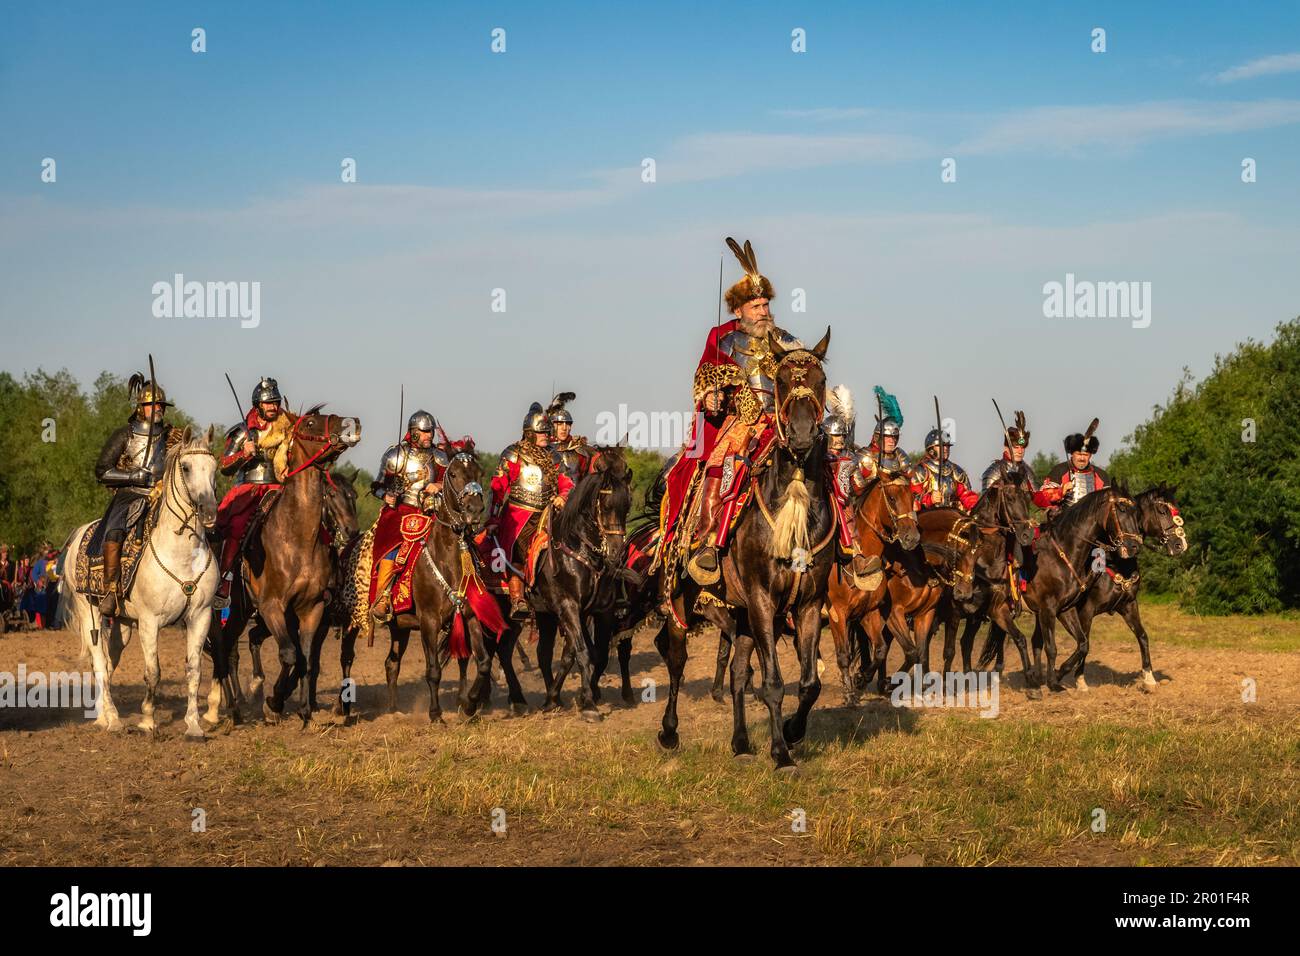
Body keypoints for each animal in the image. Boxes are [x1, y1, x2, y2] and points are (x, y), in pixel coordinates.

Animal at [60, 427, 220, 737]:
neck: (182, 553)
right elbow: (153, 671)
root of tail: (79, 534)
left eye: (214, 467)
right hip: (90, 610)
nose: (208, 513)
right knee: (100, 662)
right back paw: (113, 720)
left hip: (122, 622)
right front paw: (147, 720)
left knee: (110, 663)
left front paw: (194, 725)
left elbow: (194, 671)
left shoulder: (200, 616)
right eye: (186, 467)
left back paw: (102, 715)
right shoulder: (150, 620)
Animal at [207, 406, 361, 726]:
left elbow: (306, 659)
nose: (352, 424)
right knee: (224, 650)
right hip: (227, 613)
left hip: (243, 614)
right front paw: (273, 702)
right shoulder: (272, 607)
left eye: (353, 497)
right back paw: (233, 707)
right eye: (311, 422)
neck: (297, 537)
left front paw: (304, 710)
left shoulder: (312, 610)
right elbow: (290, 654)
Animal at [529, 446, 633, 718]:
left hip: (545, 615)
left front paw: (564, 696)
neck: (582, 551)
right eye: (606, 506)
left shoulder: (598, 610)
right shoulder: (568, 607)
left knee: (543, 653)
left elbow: (588, 655)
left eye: (627, 506)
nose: (616, 553)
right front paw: (588, 705)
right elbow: (584, 653)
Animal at [654, 328, 835, 769]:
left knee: (737, 671)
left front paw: (792, 732)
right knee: (676, 659)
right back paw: (669, 732)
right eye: (783, 381)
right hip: (683, 599)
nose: (802, 434)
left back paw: (740, 743)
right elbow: (772, 683)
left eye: (820, 381)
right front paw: (782, 754)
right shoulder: (762, 599)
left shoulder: (807, 603)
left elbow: (809, 683)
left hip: (739, 614)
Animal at [936, 474, 1043, 698]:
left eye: (1027, 497)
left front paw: (1032, 683)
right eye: (1009, 498)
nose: (1027, 535)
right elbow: (948, 651)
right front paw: (945, 687)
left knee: (966, 643)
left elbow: (1019, 638)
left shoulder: (995, 610)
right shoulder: (954, 613)